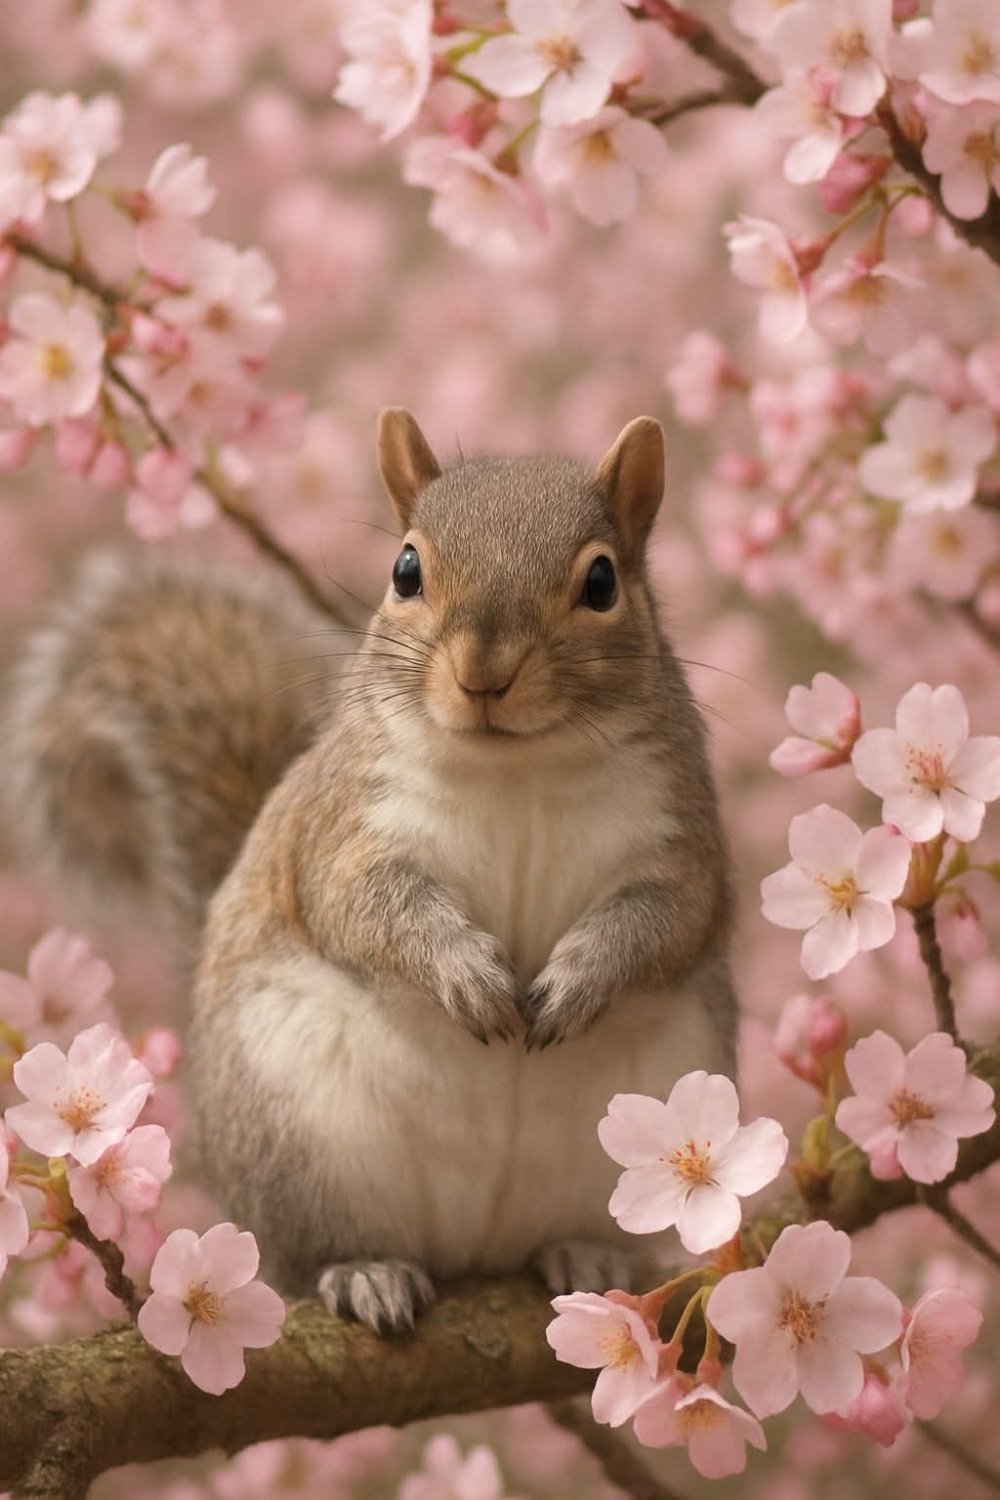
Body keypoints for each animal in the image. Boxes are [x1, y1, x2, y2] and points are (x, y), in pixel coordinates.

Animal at [6, 409, 736, 1333]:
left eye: (602, 582)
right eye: (406, 569)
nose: (483, 673)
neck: (517, 768)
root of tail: (478, 1251)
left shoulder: (681, 838)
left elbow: (670, 919)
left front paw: (581, 977)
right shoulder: (341, 828)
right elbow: (361, 906)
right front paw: (465, 974)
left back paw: (591, 1258)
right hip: (303, 1146)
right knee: (319, 1249)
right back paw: (366, 1272)